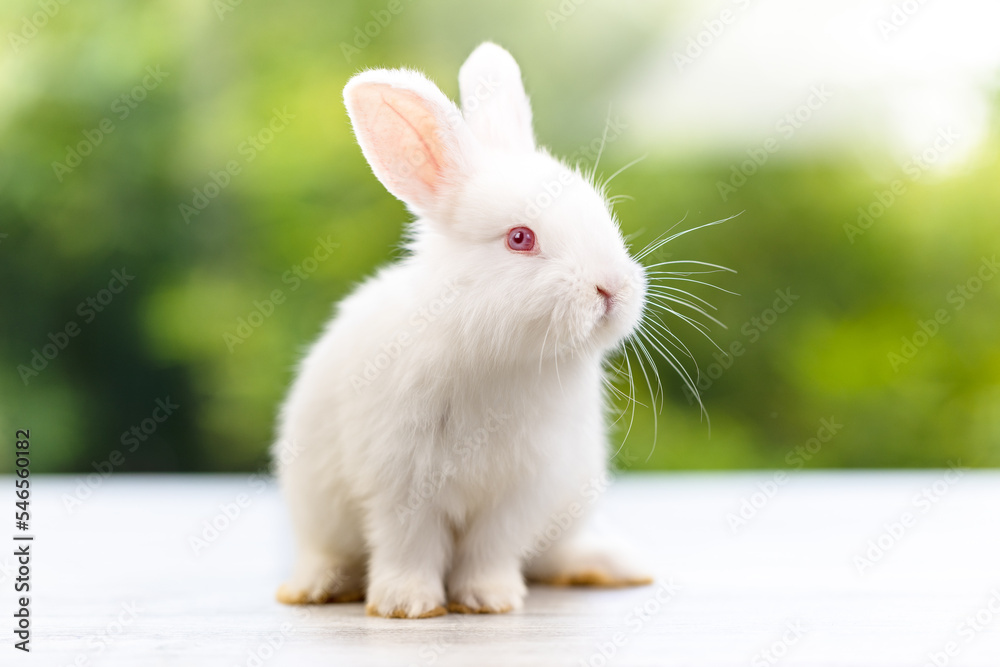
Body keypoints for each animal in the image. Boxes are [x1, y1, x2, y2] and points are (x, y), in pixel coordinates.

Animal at [274, 42, 653, 619]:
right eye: (520, 238)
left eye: (602, 214)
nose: (612, 289)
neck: (503, 358)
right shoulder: (401, 483)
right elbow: (409, 545)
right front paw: (408, 605)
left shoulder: (522, 490)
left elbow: (490, 549)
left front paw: (489, 600)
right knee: (326, 553)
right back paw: (313, 588)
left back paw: (611, 566)